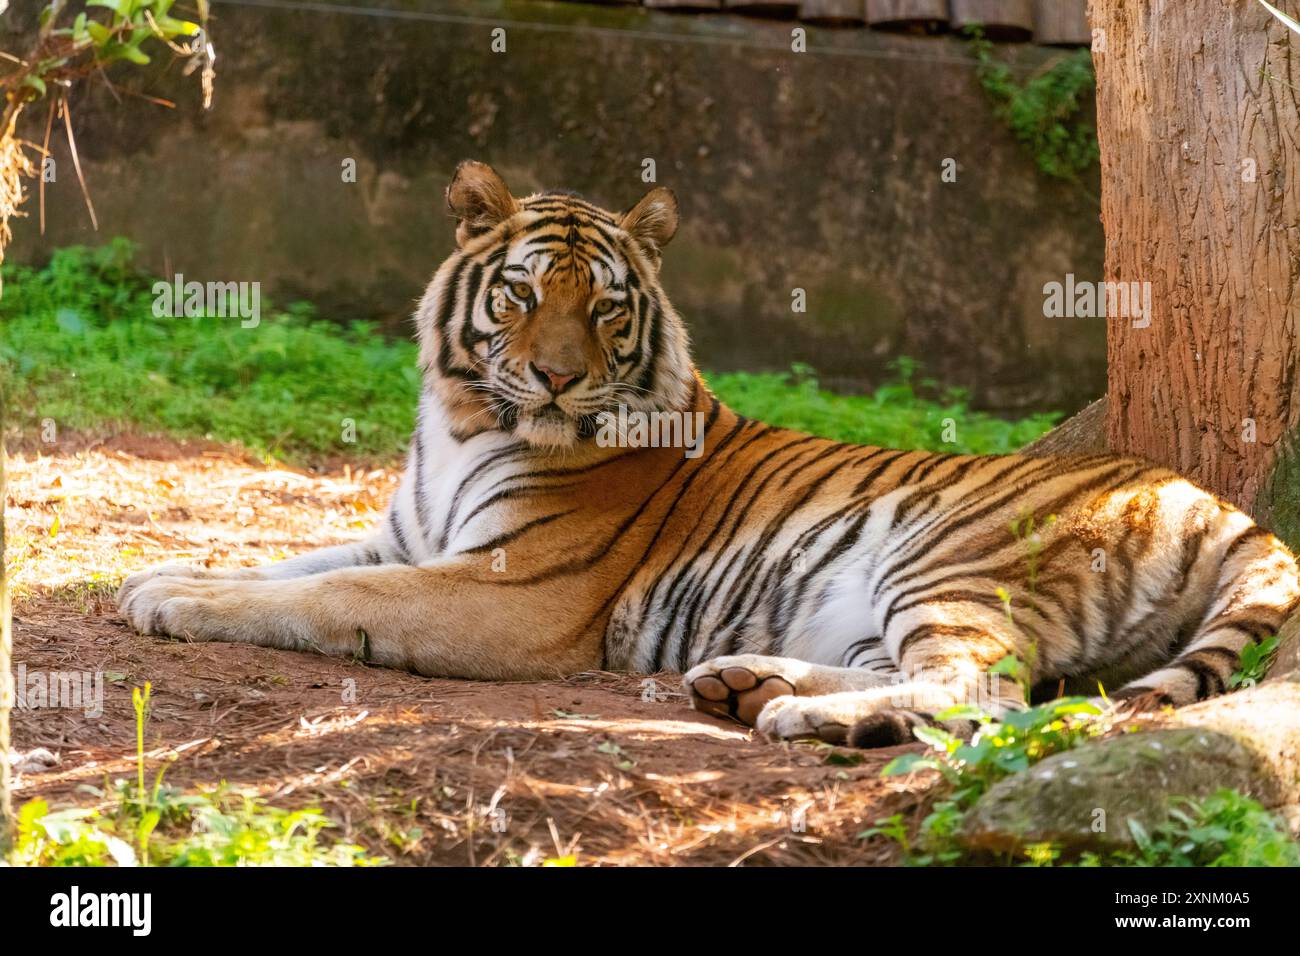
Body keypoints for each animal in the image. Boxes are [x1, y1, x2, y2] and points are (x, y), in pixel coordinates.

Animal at [118, 161, 1300, 748]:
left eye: (603, 307)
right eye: (521, 293)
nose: (555, 377)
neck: (462, 421)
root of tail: (1222, 503)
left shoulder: (510, 590)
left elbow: (328, 597)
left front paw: (177, 601)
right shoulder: (405, 535)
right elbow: (287, 564)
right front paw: (156, 574)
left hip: (950, 554)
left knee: (980, 690)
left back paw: (795, 713)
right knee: (966, 677)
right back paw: (741, 680)